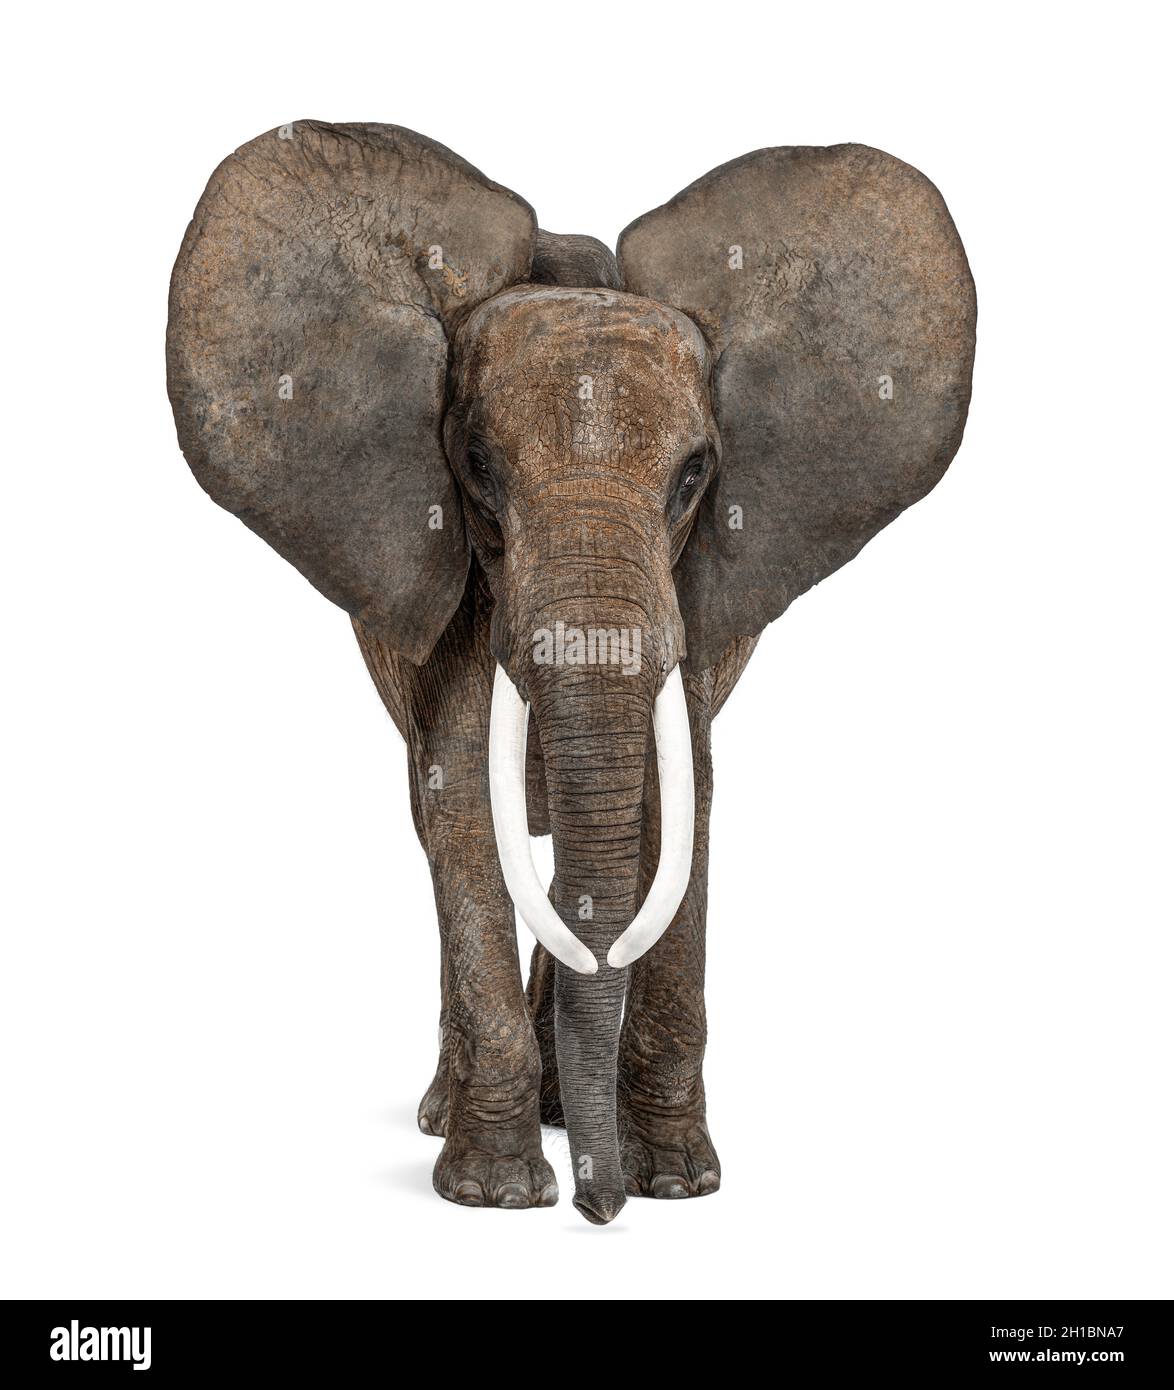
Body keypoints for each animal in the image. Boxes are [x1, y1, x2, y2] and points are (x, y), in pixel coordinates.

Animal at [166, 122, 975, 1225]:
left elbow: (681, 805)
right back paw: (453, 1114)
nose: (599, 1209)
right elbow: (461, 798)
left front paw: (676, 1181)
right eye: (475, 468)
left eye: (693, 476)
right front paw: (497, 1193)